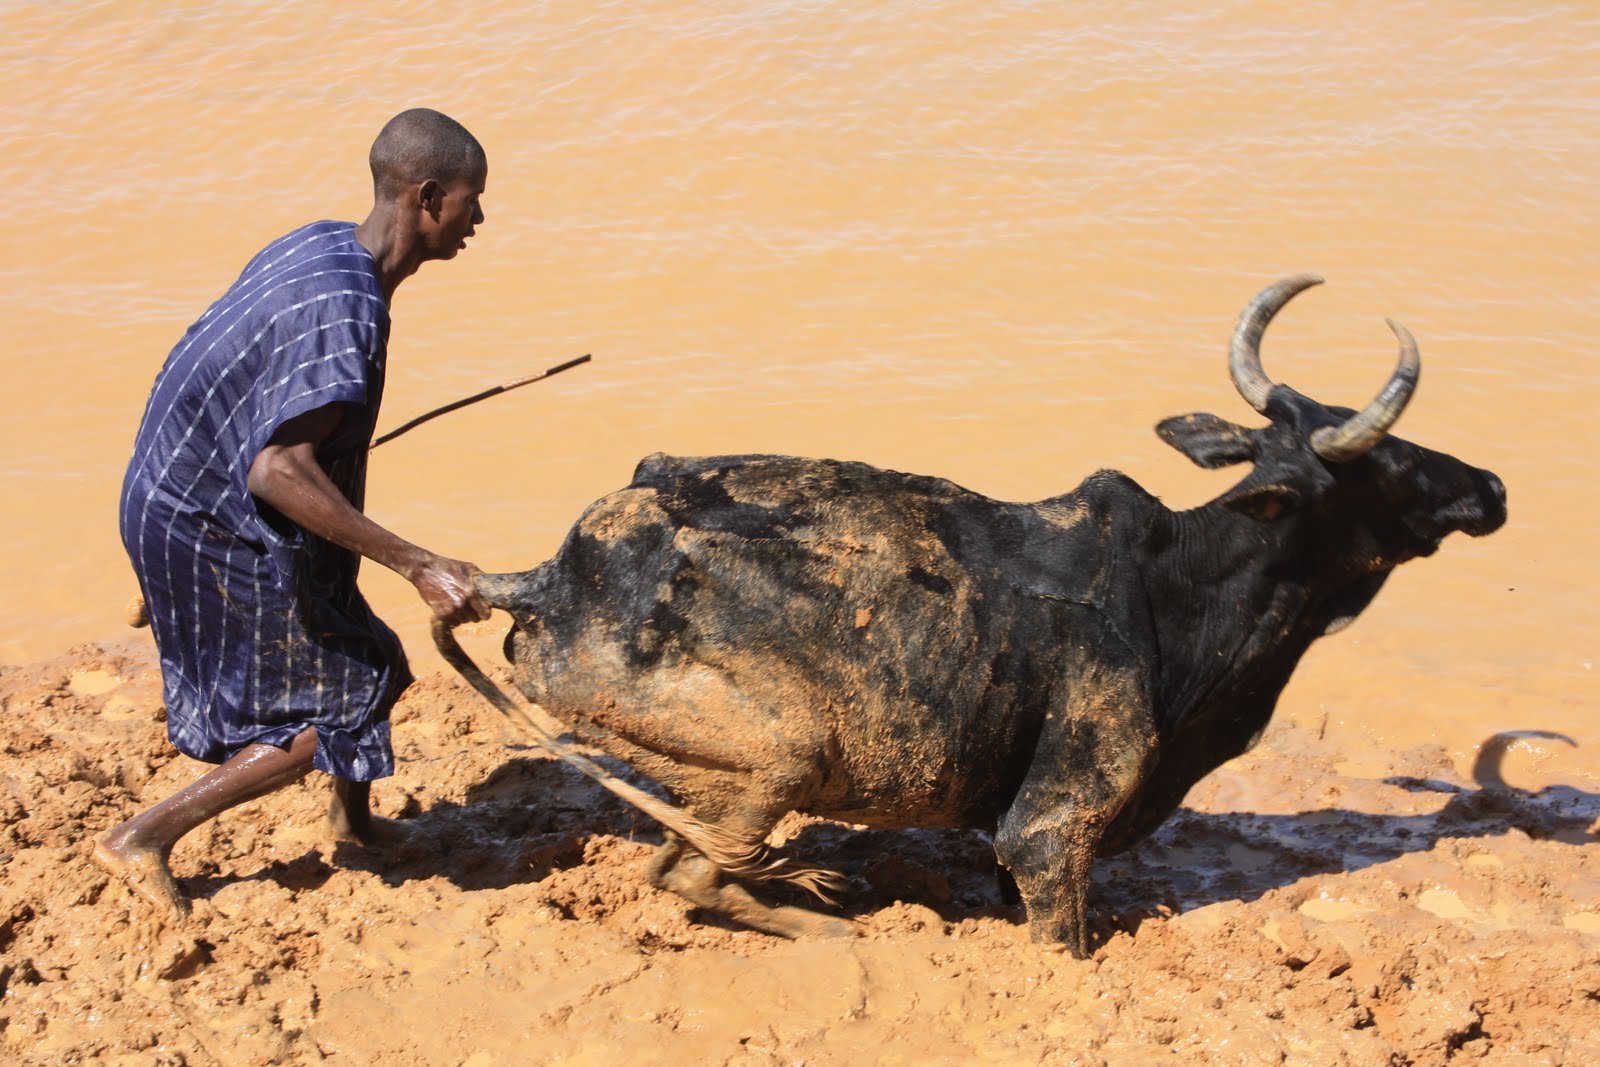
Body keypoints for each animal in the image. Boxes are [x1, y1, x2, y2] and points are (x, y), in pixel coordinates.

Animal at [435, 275, 1506, 958]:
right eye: (1393, 460)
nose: (1489, 486)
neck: (1183, 588)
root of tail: (545, 580)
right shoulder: (1054, 825)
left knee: (680, 865)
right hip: (781, 754)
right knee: (692, 876)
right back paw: (834, 925)